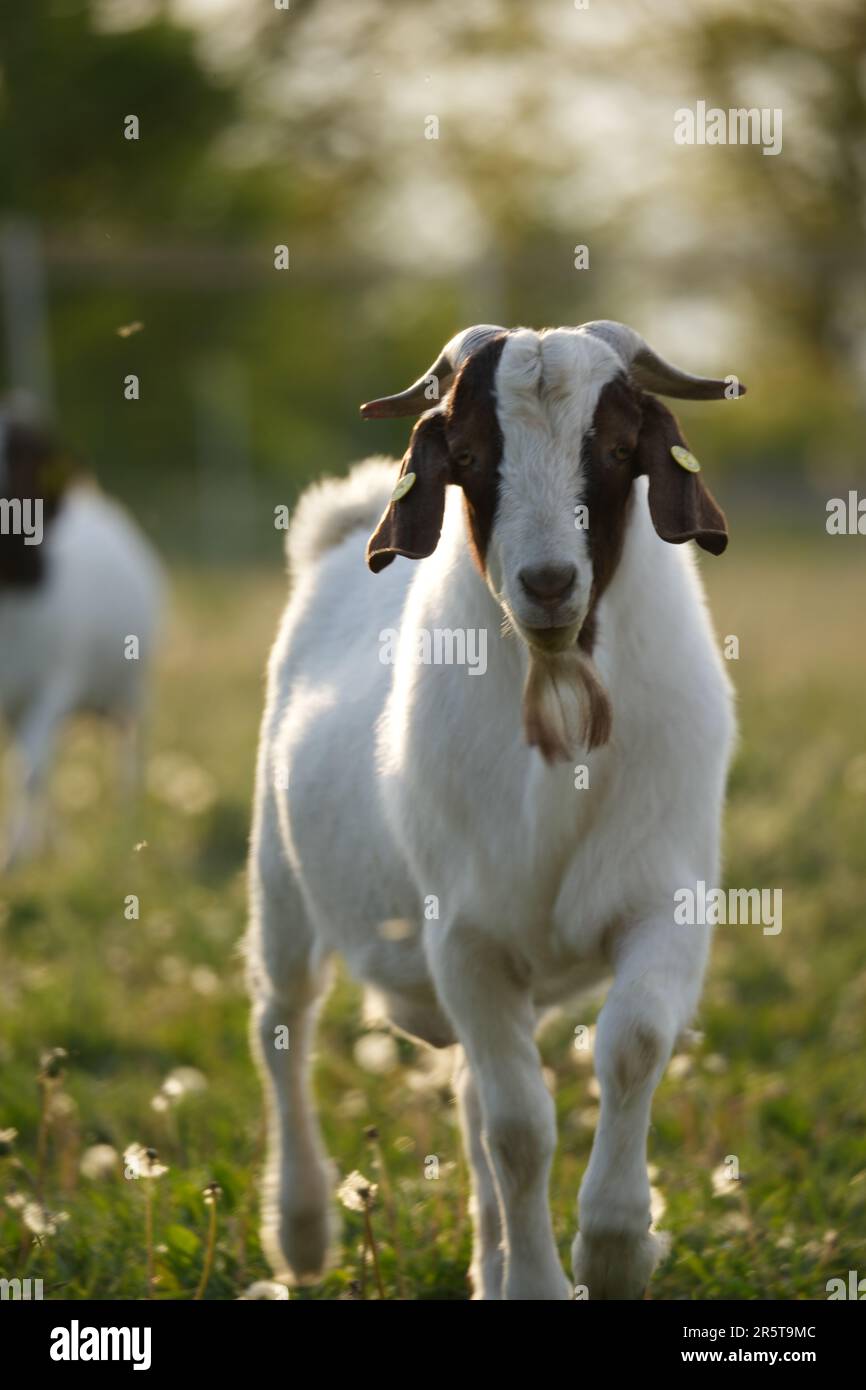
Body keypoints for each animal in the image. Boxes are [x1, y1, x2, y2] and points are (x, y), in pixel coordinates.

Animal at [0, 406, 164, 865]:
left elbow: (31, 771)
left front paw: (15, 856)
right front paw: (29, 847)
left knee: (130, 744)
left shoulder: (56, 682)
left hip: (131, 686)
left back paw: (129, 822)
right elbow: (29, 768)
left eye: (21, 458)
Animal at [247, 321, 743, 1300]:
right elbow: (518, 1131)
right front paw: (545, 1281)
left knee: (471, 1094)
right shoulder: (466, 941)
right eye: (471, 456)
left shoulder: (664, 903)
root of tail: (332, 535)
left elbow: (631, 1045)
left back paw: (488, 1259)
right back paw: (304, 1229)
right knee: (283, 1027)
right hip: (281, 885)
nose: (547, 583)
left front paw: (615, 1247)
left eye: (616, 449)